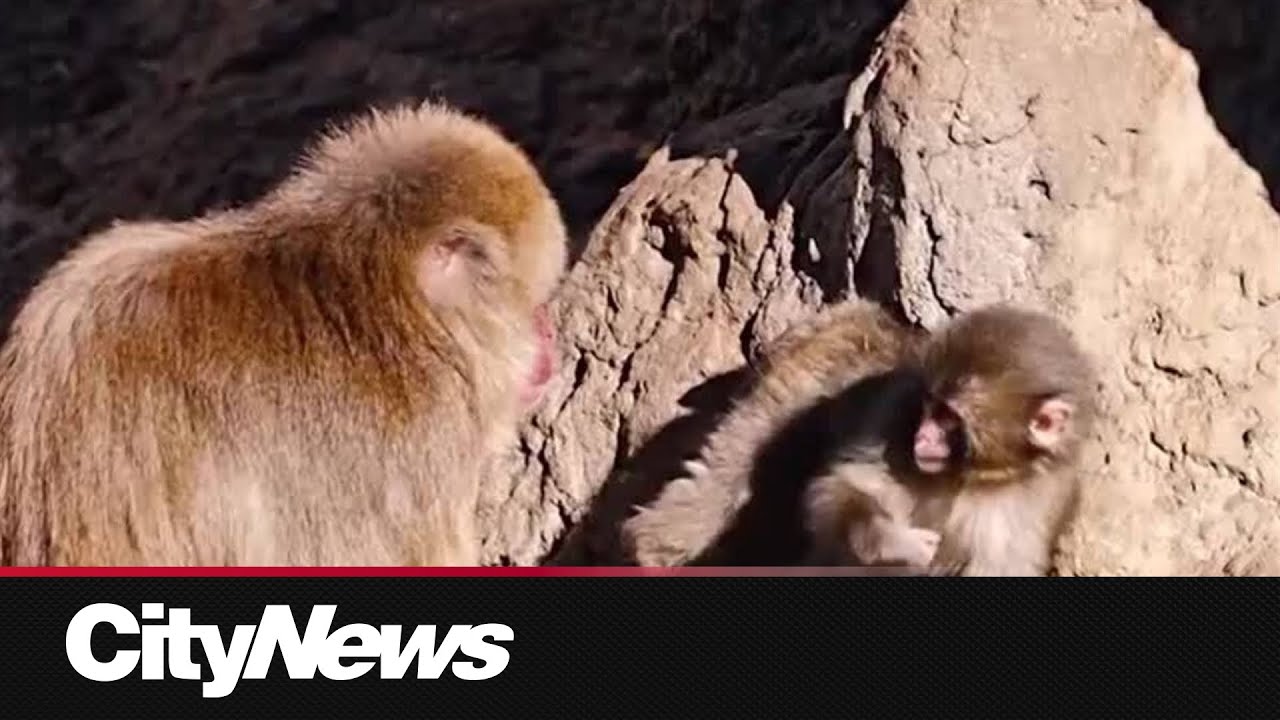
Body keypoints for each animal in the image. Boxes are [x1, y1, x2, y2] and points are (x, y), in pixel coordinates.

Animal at [621, 302, 1096, 576]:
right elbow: (840, 489)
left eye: (947, 417)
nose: (923, 436)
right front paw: (890, 541)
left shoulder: (1036, 498)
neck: (970, 473)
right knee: (733, 468)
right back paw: (654, 545)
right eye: (929, 405)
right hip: (799, 379)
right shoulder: (894, 415)